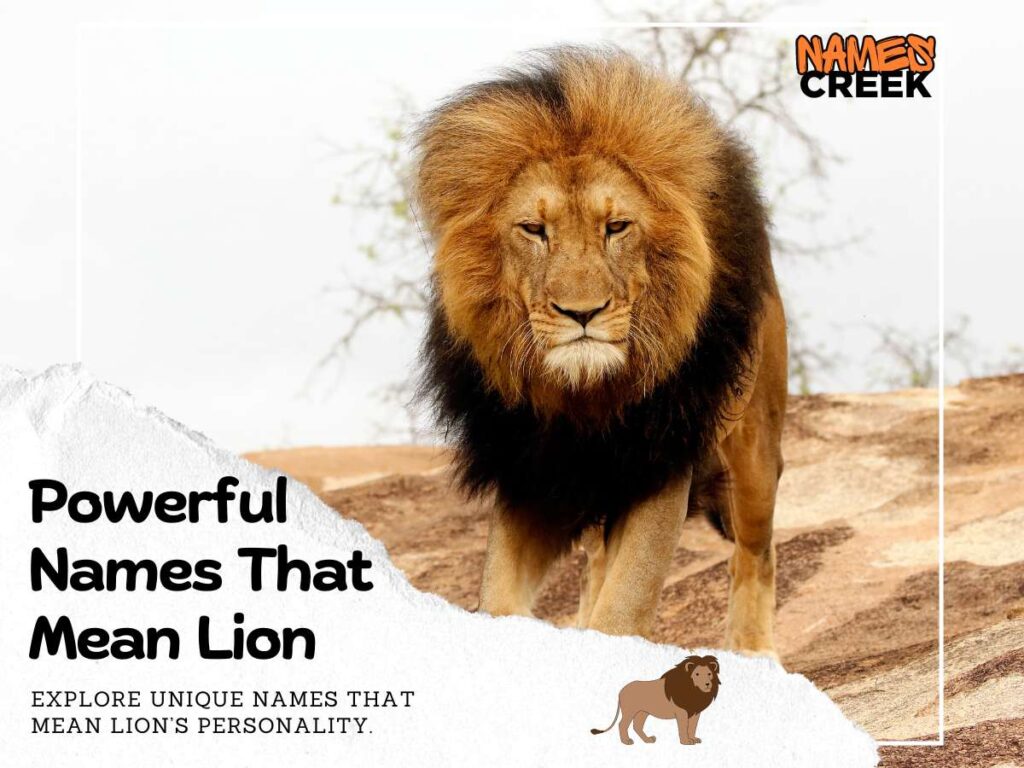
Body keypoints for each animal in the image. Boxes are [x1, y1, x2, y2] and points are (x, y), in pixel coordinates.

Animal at [414, 47, 787, 657]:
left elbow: (627, 599)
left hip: (754, 442)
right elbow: (499, 596)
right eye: (534, 229)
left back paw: (755, 652)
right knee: (596, 563)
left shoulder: (661, 460)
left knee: (755, 550)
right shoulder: (533, 472)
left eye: (616, 227)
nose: (581, 313)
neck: (585, 397)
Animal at [590, 655, 721, 745]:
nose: (707, 684)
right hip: (630, 711)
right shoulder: (682, 712)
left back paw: (648, 740)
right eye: (697, 674)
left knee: (637, 726)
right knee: (622, 724)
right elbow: (684, 727)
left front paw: (694, 739)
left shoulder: (695, 712)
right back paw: (626, 741)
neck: (695, 691)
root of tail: (621, 690)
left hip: (642, 712)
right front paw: (686, 742)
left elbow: (693, 727)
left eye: (709, 674)